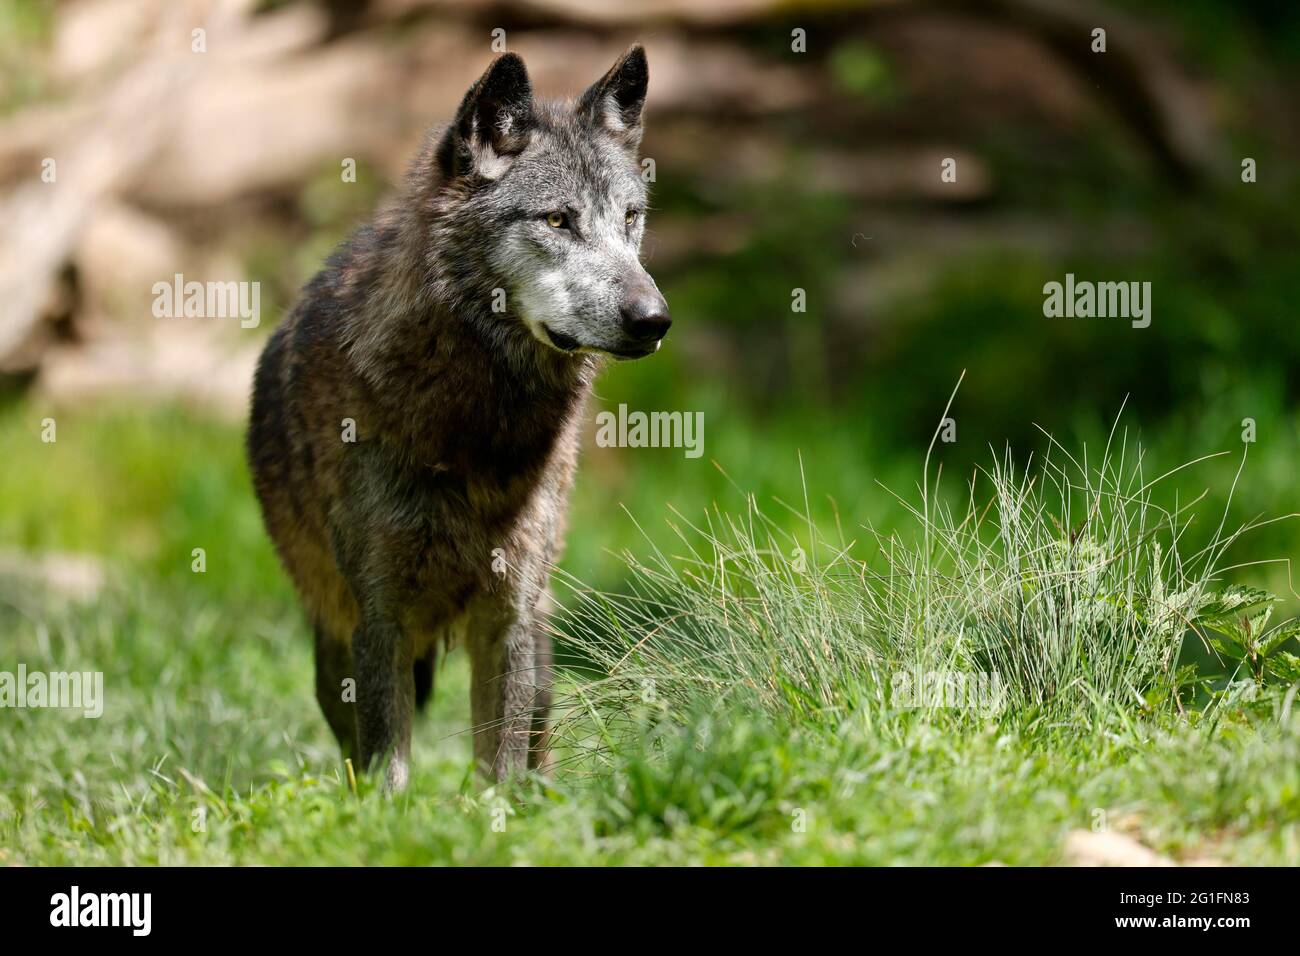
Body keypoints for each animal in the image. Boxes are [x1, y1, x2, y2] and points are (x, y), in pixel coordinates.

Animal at [246, 46, 670, 790]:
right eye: (557, 221)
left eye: (630, 218)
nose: (654, 319)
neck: (477, 424)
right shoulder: (378, 619)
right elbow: (387, 770)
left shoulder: (508, 615)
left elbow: (498, 770)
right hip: (331, 645)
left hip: (542, 643)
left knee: (538, 747)